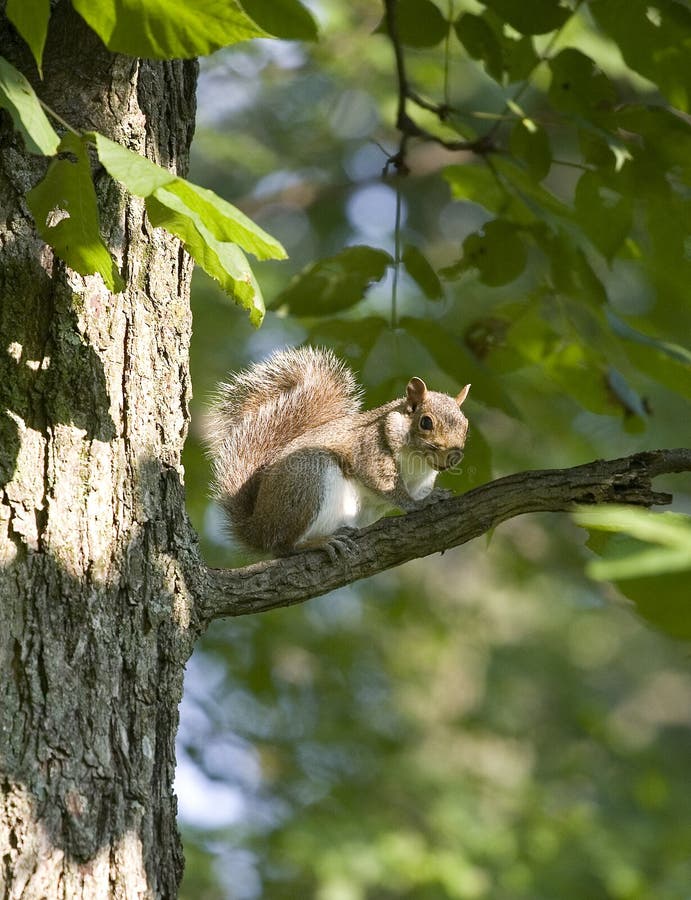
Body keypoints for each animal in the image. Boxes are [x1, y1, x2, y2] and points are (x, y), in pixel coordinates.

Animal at [206, 346, 470, 556]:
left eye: (466, 426)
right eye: (426, 422)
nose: (453, 457)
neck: (419, 462)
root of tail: (258, 528)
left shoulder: (421, 480)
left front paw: (434, 496)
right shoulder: (371, 447)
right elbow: (386, 485)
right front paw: (417, 504)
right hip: (307, 481)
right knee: (283, 546)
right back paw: (317, 544)